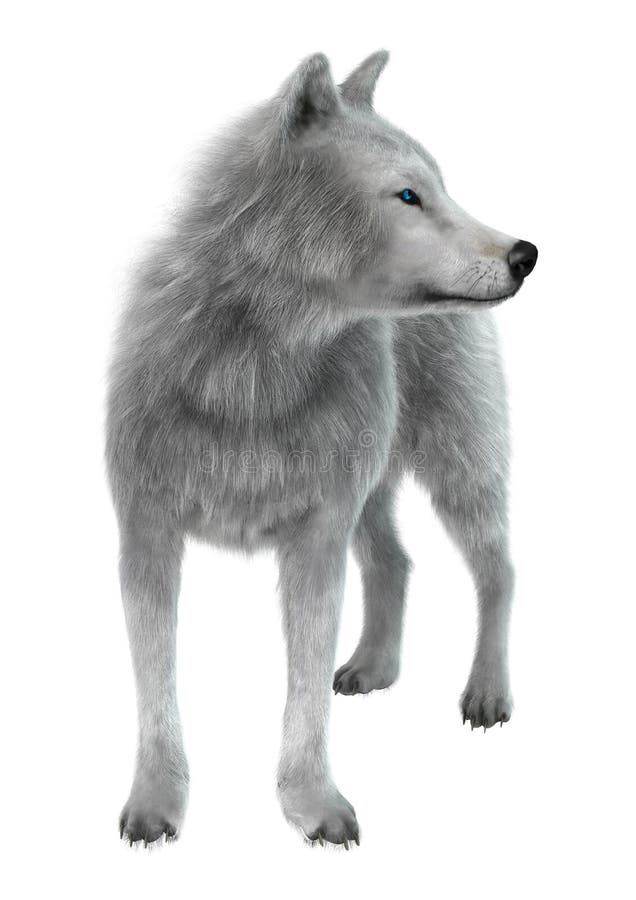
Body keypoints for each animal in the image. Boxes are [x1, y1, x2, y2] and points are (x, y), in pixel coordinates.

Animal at [106, 50, 537, 849]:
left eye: (442, 186)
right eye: (408, 194)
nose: (525, 252)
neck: (249, 374)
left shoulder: (314, 541)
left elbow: (304, 695)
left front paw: (313, 806)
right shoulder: (146, 535)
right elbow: (157, 689)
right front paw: (156, 803)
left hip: (458, 471)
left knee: (500, 570)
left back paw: (487, 691)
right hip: (368, 497)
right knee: (397, 562)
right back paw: (374, 667)